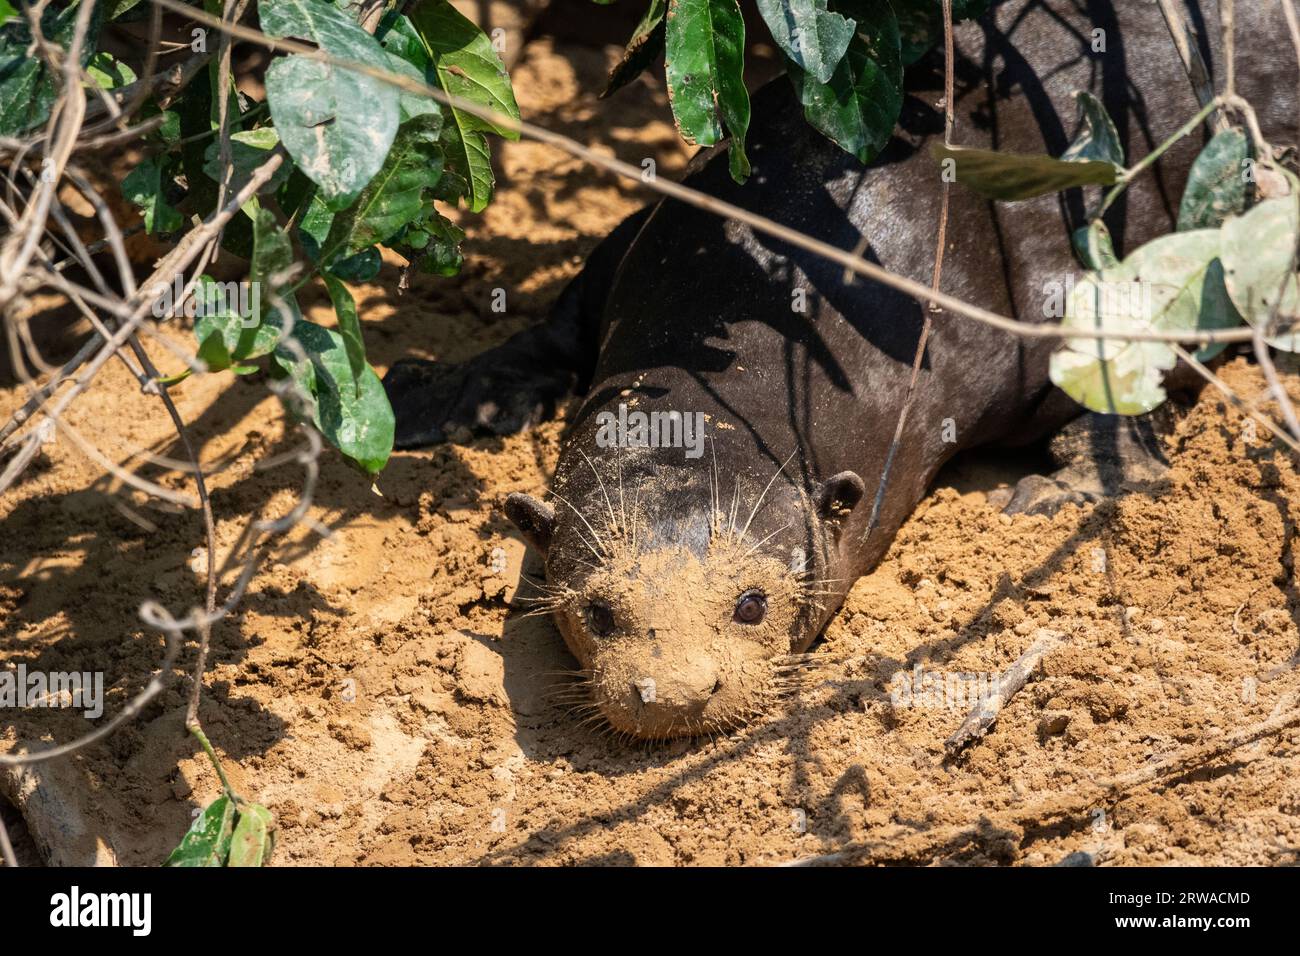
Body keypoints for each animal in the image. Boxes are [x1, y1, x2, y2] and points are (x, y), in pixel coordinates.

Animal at [384, 1, 1295, 739]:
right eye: (599, 611)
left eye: (751, 603)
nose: (673, 695)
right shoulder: (656, 239)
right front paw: (449, 393)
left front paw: (1076, 485)